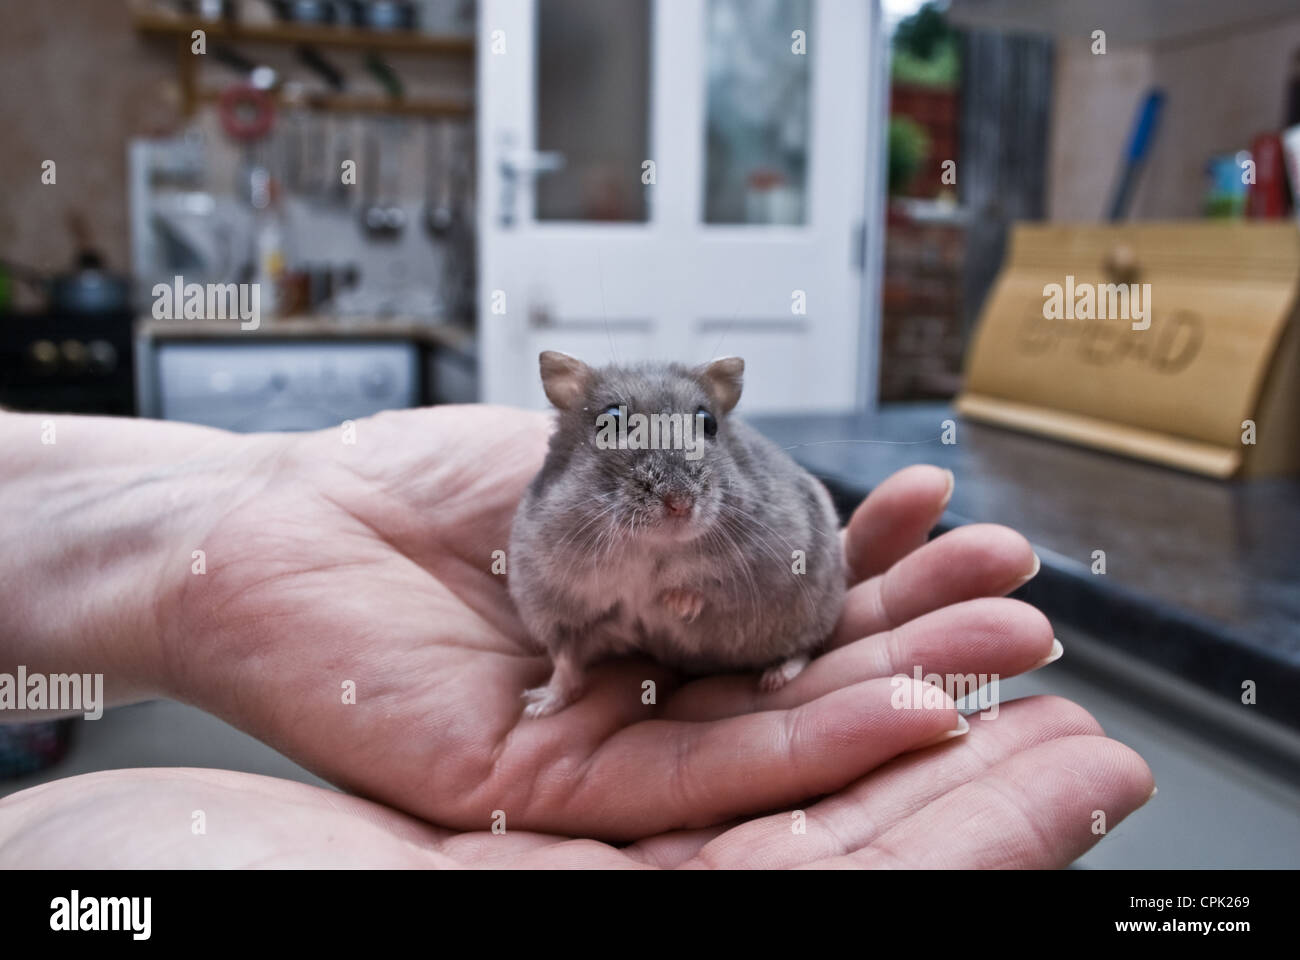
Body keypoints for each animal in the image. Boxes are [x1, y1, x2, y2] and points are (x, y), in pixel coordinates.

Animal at [508, 351, 845, 718]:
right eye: (611, 419)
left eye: (708, 422)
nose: (680, 503)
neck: (650, 546)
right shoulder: (554, 604)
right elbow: (566, 661)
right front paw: (537, 706)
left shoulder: (773, 558)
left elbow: (710, 583)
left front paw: (675, 603)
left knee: (804, 647)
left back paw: (777, 677)